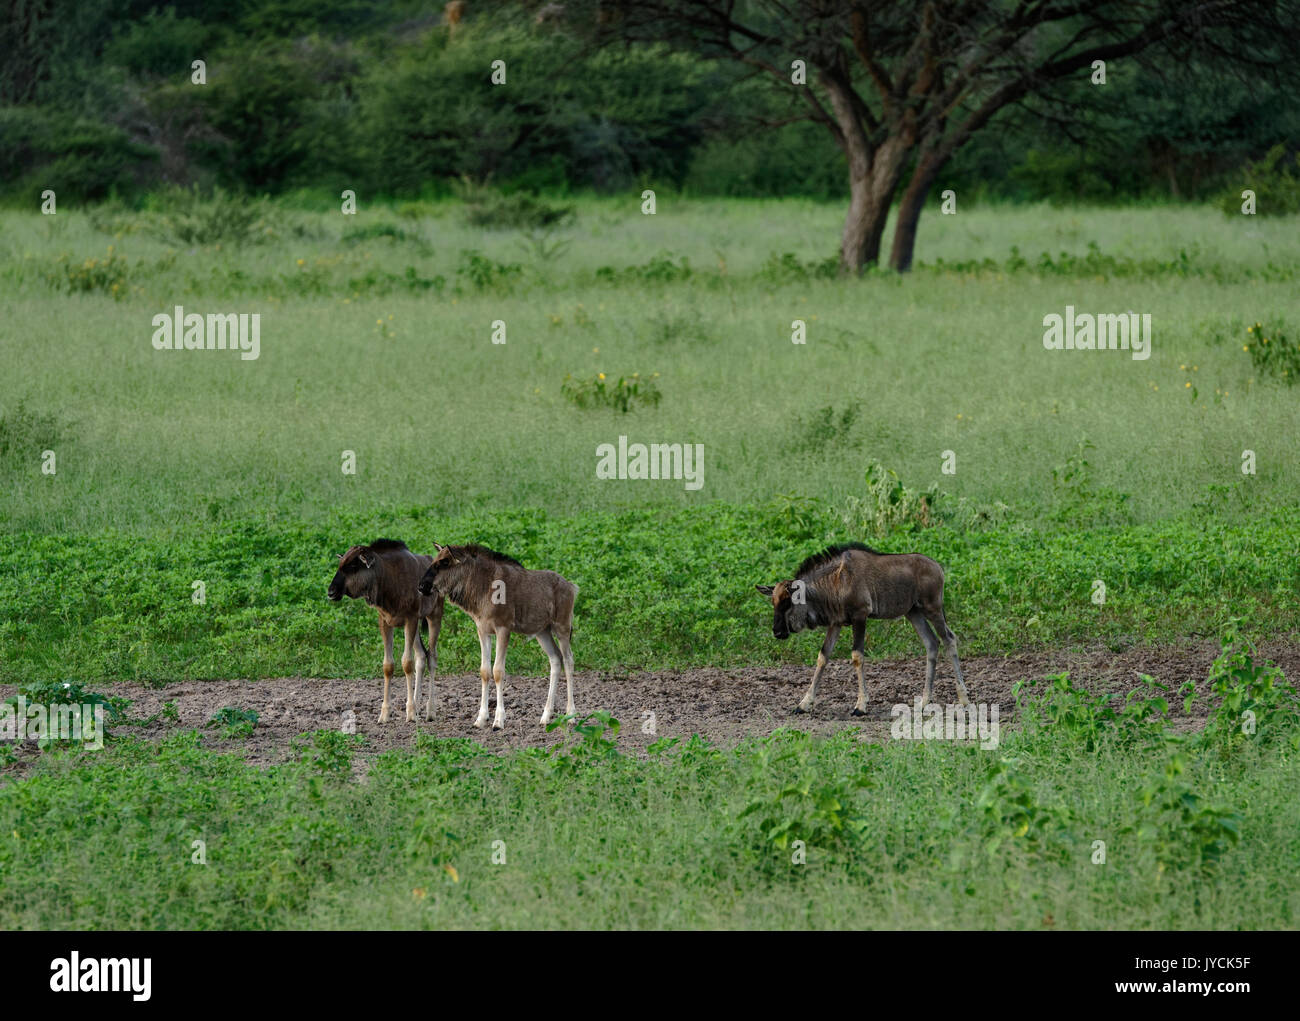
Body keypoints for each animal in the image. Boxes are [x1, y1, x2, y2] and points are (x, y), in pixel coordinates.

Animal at [328, 539, 445, 723]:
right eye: (340, 564)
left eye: (353, 565)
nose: (331, 591)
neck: (387, 583)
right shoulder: (385, 622)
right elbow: (388, 665)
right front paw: (385, 714)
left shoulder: (410, 618)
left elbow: (406, 663)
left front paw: (411, 713)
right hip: (418, 625)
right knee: (421, 656)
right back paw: (417, 705)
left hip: (434, 616)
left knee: (432, 656)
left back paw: (429, 710)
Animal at [417, 544, 578, 730]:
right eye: (435, 560)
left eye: (444, 562)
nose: (421, 586)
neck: (482, 589)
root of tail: (572, 587)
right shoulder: (483, 631)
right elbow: (485, 671)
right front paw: (481, 718)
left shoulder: (503, 629)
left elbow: (498, 671)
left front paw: (498, 720)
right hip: (542, 631)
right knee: (555, 659)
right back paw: (546, 716)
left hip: (562, 627)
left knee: (568, 660)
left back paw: (571, 715)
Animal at [756, 542, 971, 715]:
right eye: (773, 602)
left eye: (787, 602)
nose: (777, 632)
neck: (836, 580)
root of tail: (938, 567)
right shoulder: (836, 623)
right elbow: (823, 658)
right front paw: (803, 704)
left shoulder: (860, 616)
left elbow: (857, 656)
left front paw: (861, 706)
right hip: (914, 613)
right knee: (931, 643)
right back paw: (925, 702)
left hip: (932, 609)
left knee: (949, 639)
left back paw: (964, 699)